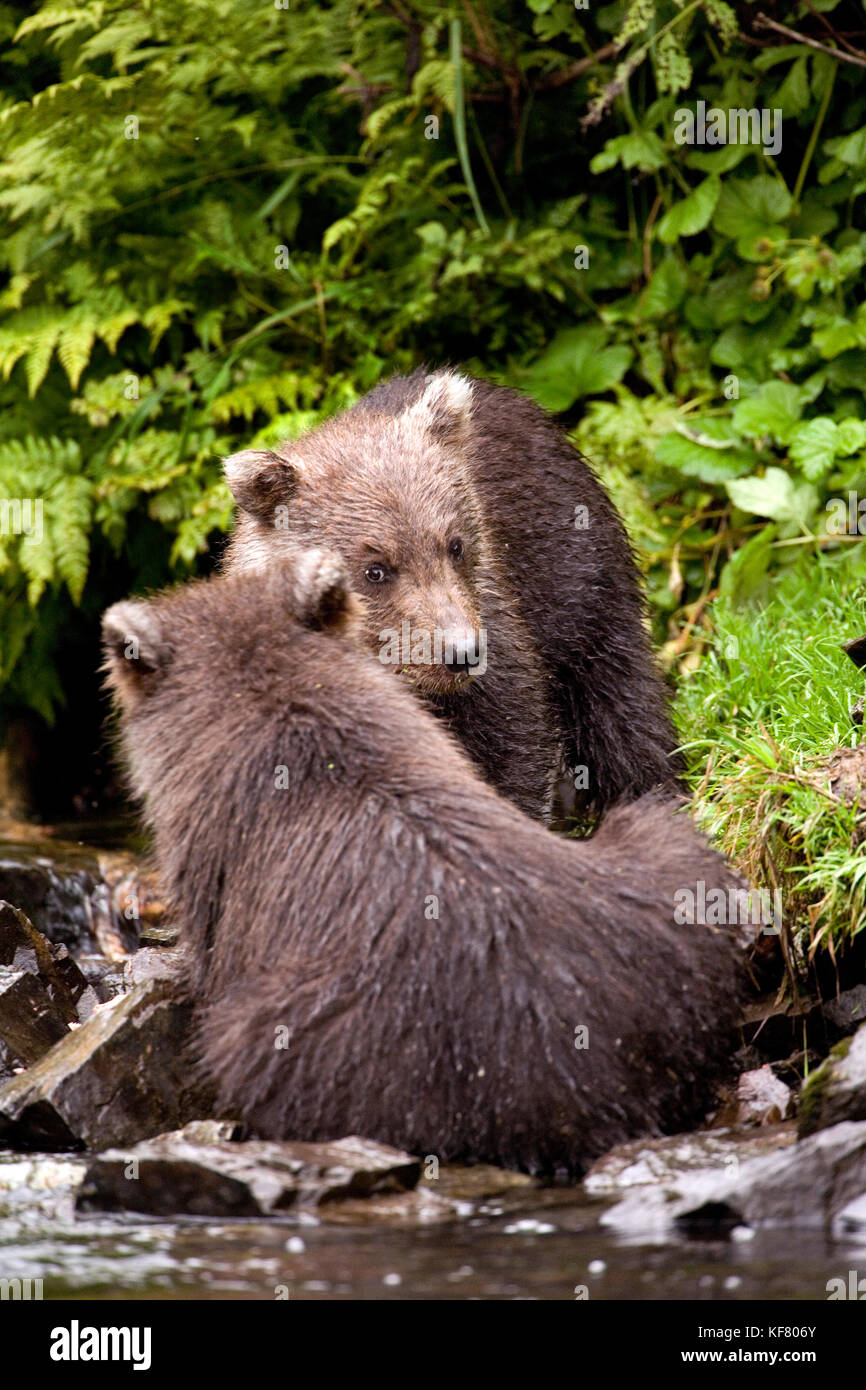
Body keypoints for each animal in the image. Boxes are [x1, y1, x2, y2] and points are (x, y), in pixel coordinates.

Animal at [221, 368, 680, 824]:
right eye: (375, 569)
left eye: (454, 544)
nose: (461, 652)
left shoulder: (494, 630)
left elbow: (514, 742)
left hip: (576, 575)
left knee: (618, 698)